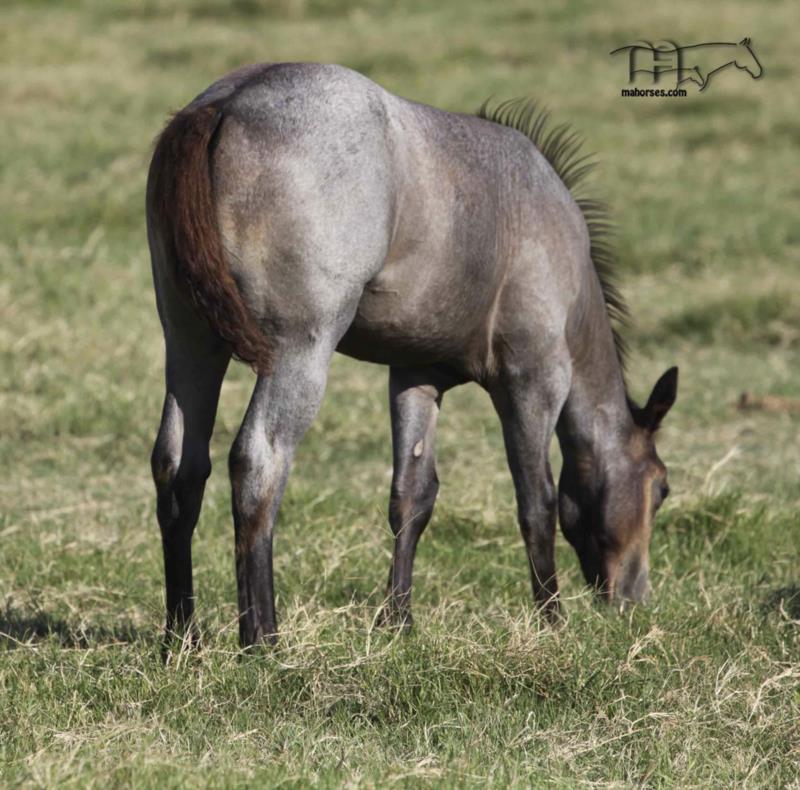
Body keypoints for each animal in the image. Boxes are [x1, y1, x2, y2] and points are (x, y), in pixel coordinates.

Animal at [147, 63, 678, 649]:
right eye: (661, 489)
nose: (634, 597)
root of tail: (223, 104)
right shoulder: (533, 381)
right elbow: (536, 501)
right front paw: (551, 621)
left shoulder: (415, 376)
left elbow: (412, 496)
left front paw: (398, 620)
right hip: (297, 354)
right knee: (259, 462)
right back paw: (262, 639)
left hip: (191, 346)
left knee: (179, 466)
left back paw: (181, 634)